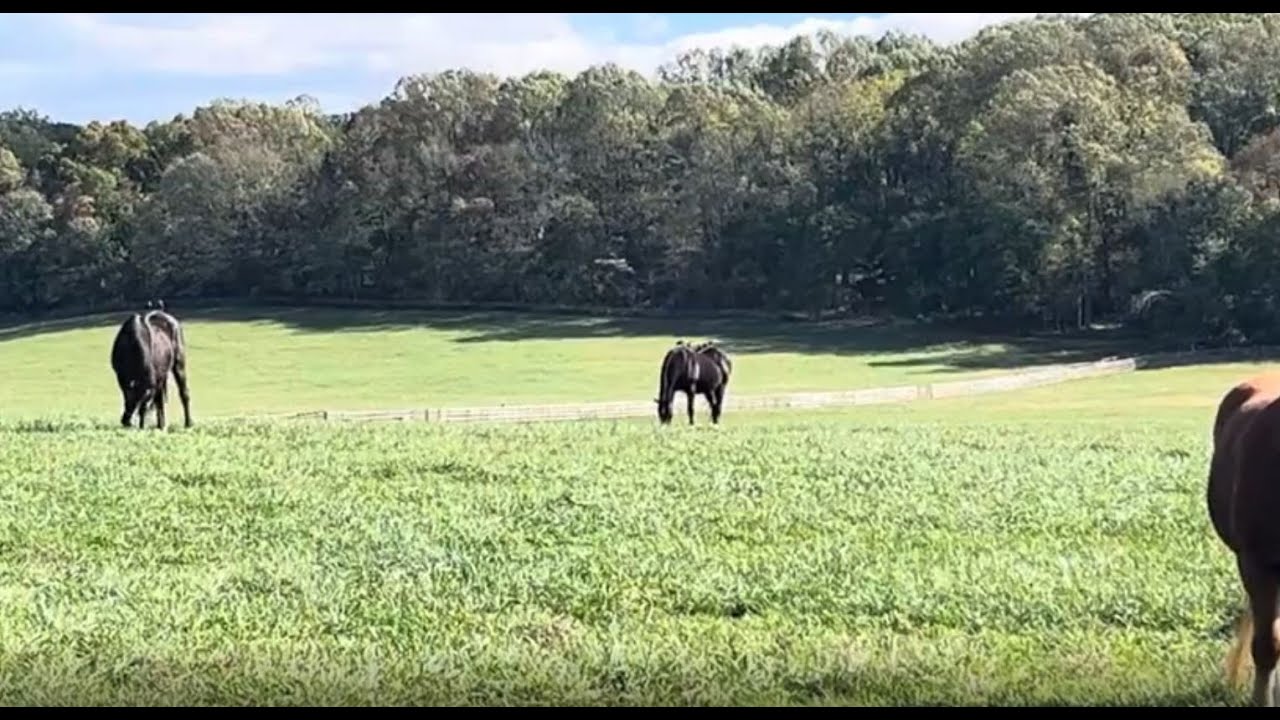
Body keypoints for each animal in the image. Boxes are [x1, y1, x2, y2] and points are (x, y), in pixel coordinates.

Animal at [109, 299, 193, 430]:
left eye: (142, 407)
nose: (126, 421)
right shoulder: (122, 378)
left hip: (179, 365)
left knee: (183, 393)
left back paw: (188, 423)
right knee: (161, 400)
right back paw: (161, 424)